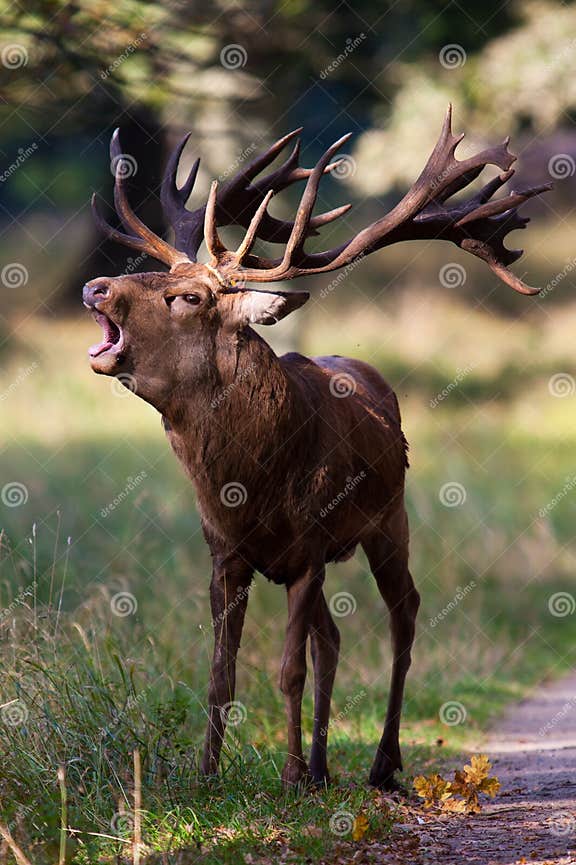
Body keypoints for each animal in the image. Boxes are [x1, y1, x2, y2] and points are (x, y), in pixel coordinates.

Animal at [83, 107, 548, 790]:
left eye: (189, 296)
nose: (96, 287)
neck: (248, 483)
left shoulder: (307, 551)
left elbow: (288, 670)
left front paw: (288, 779)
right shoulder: (226, 553)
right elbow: (221, 674)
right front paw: (208, 778)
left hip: (390, 520)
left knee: (404, 613)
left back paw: (381, 763)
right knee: (332, 636)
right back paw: (327, 768)